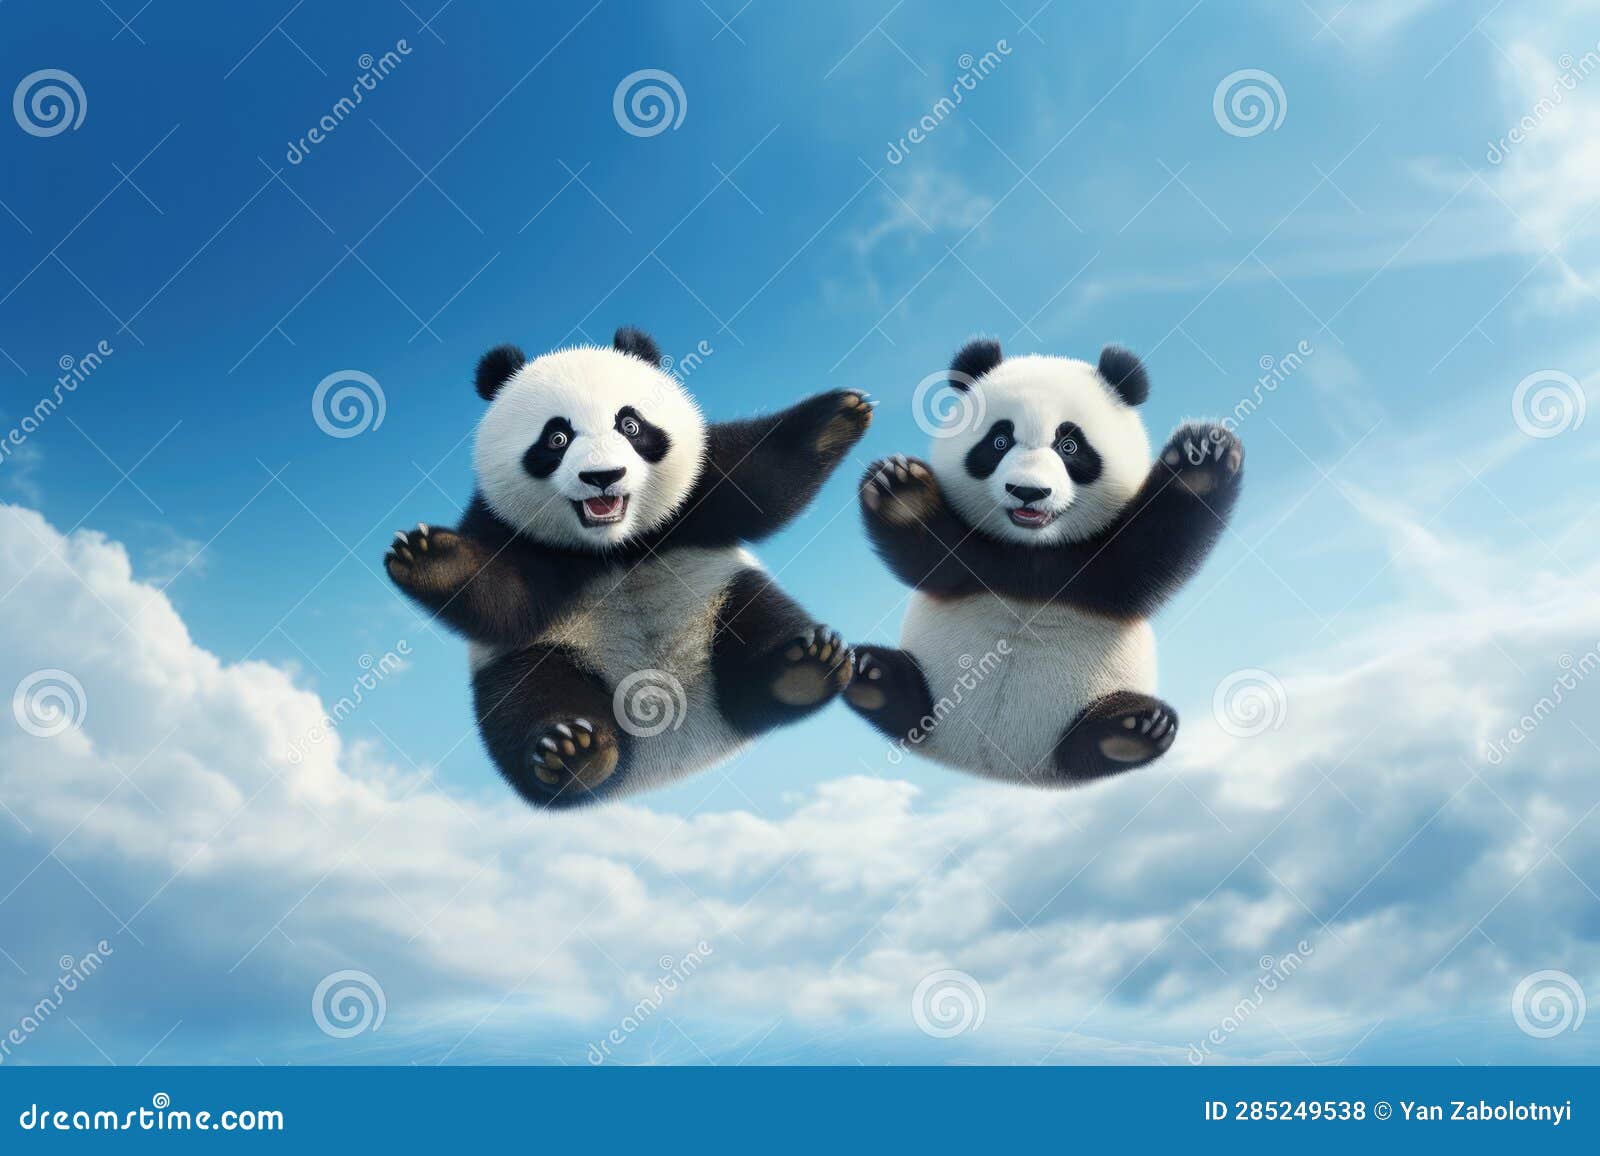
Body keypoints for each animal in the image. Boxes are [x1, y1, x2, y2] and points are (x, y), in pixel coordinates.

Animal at [386, 326, 872, 808]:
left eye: (630, 425)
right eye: (556, 438)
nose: (602, 476)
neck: (615, 549)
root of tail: (679, 750)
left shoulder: (695, 490)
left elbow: (757, 481)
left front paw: (836, 418)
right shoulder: (506, 524)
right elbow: (503, 598)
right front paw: (429, 560)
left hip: (717, 599)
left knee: (757, 621)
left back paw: (805, 667)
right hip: (545, 655)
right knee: (527, 696)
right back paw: (575, 754)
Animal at [844, 338, 1243, 787]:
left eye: (1069, 446)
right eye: (999, 441)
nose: (1028, 492)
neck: (1032, 550)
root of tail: (994, 764)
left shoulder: (1091, 567)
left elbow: (1149, 552)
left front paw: (1201, 459)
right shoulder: (983, 559)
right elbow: (932, 563)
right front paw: (902, 490)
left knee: (1090, 746)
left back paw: (1132, 730)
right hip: (934, 685)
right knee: (907, 697)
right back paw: (872, 675)